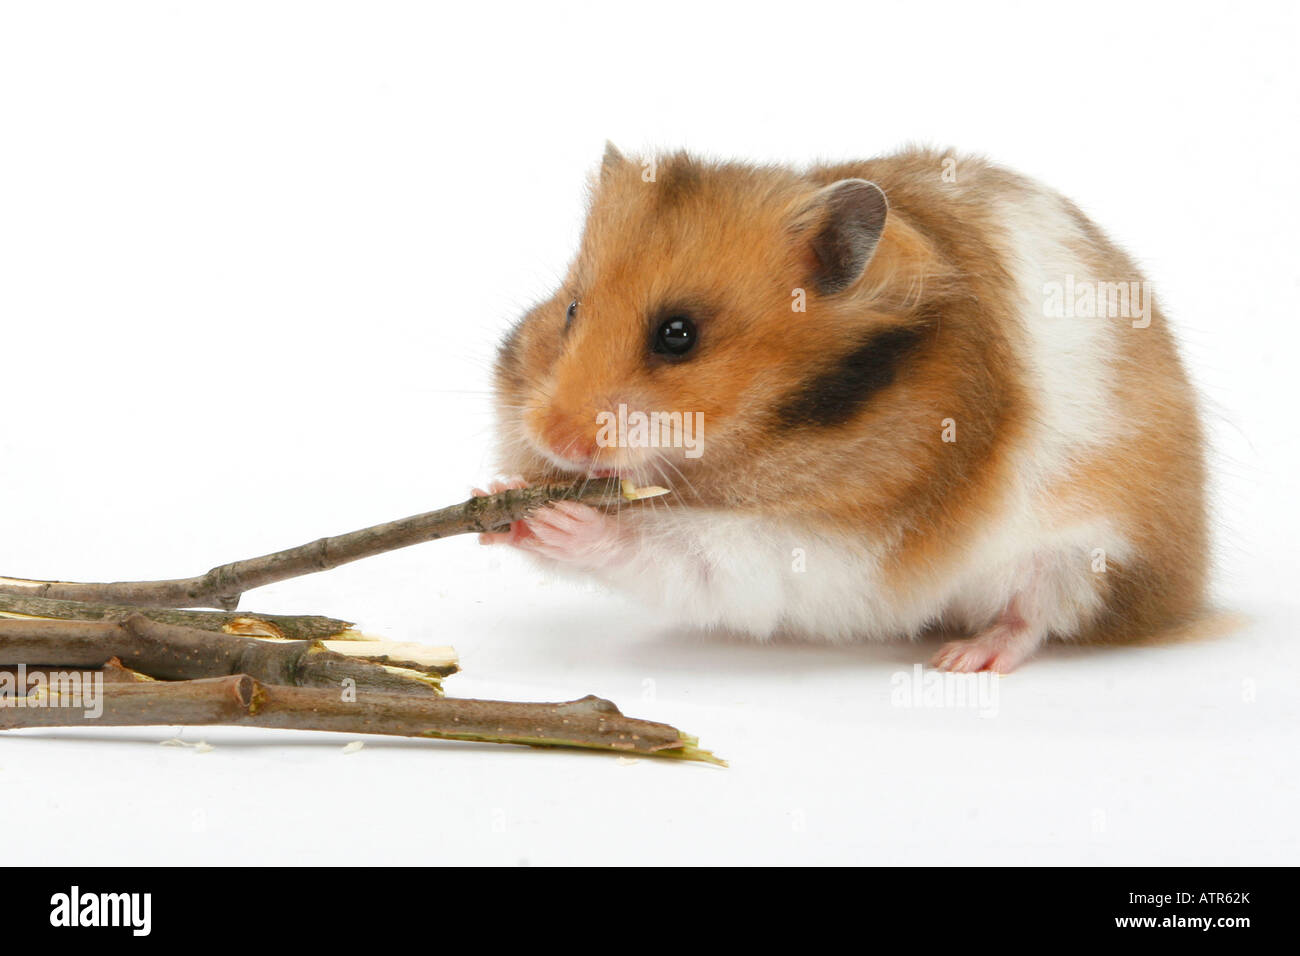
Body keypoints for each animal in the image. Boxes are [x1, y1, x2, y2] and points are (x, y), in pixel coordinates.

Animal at [480, 143, 1208, 673]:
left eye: (678, 335)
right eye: (571, 309)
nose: (554, 439)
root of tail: (1187, 594)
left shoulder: (835, 541)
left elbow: (685, 550)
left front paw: (567, 521)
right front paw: (500, 502)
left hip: (1083, 557)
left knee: (1038, 619)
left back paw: (962, 659)